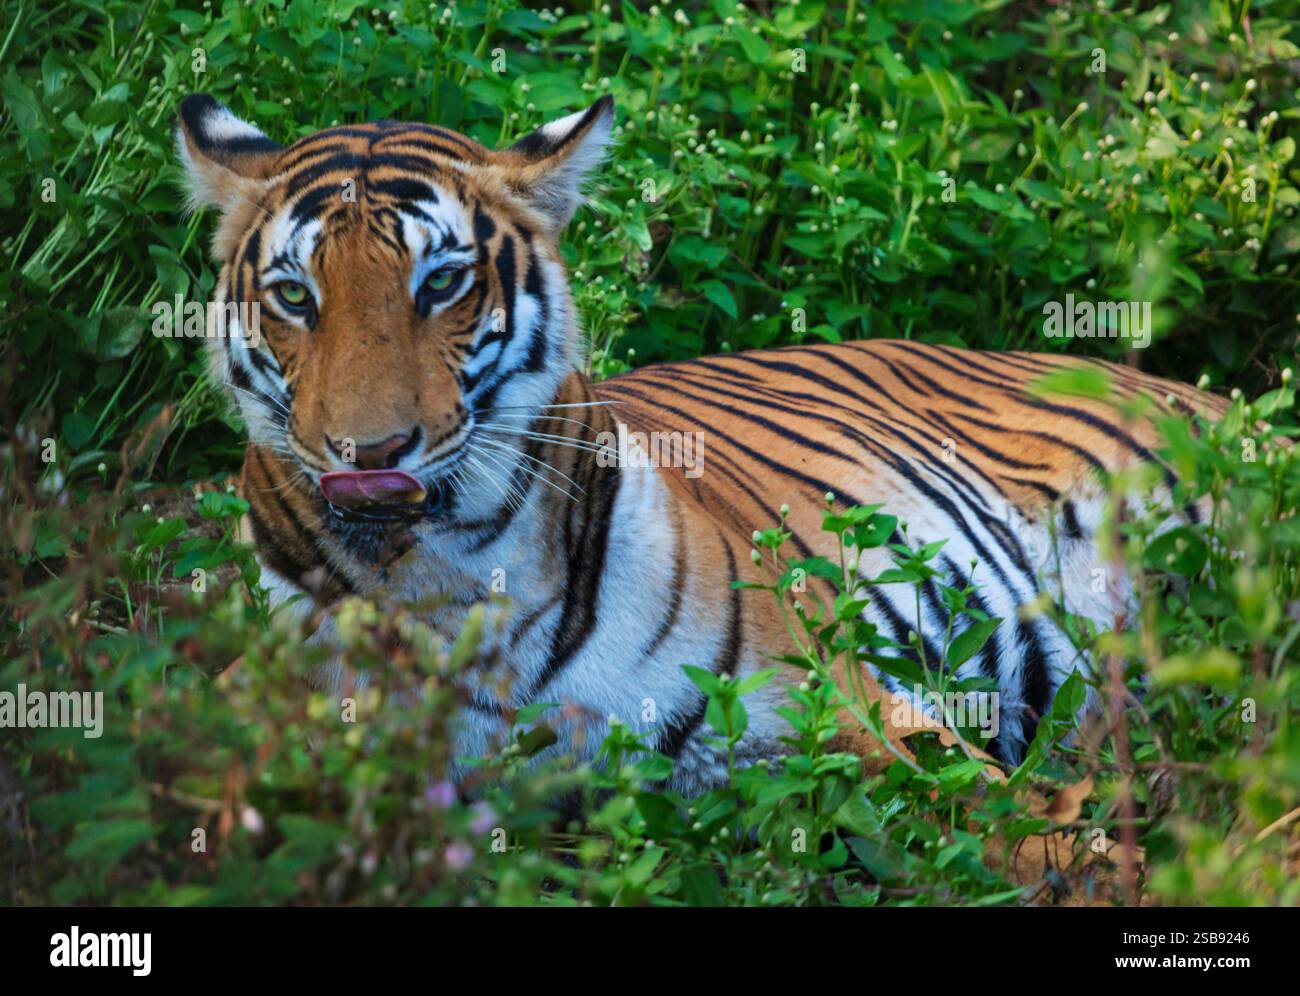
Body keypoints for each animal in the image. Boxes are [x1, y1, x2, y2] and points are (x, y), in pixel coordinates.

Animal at [177, 93, 1228, 793]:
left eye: (440, 285)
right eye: (294, 296)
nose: (369, 453)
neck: (449, 579)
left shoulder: (844, 717)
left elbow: (1009, 833)